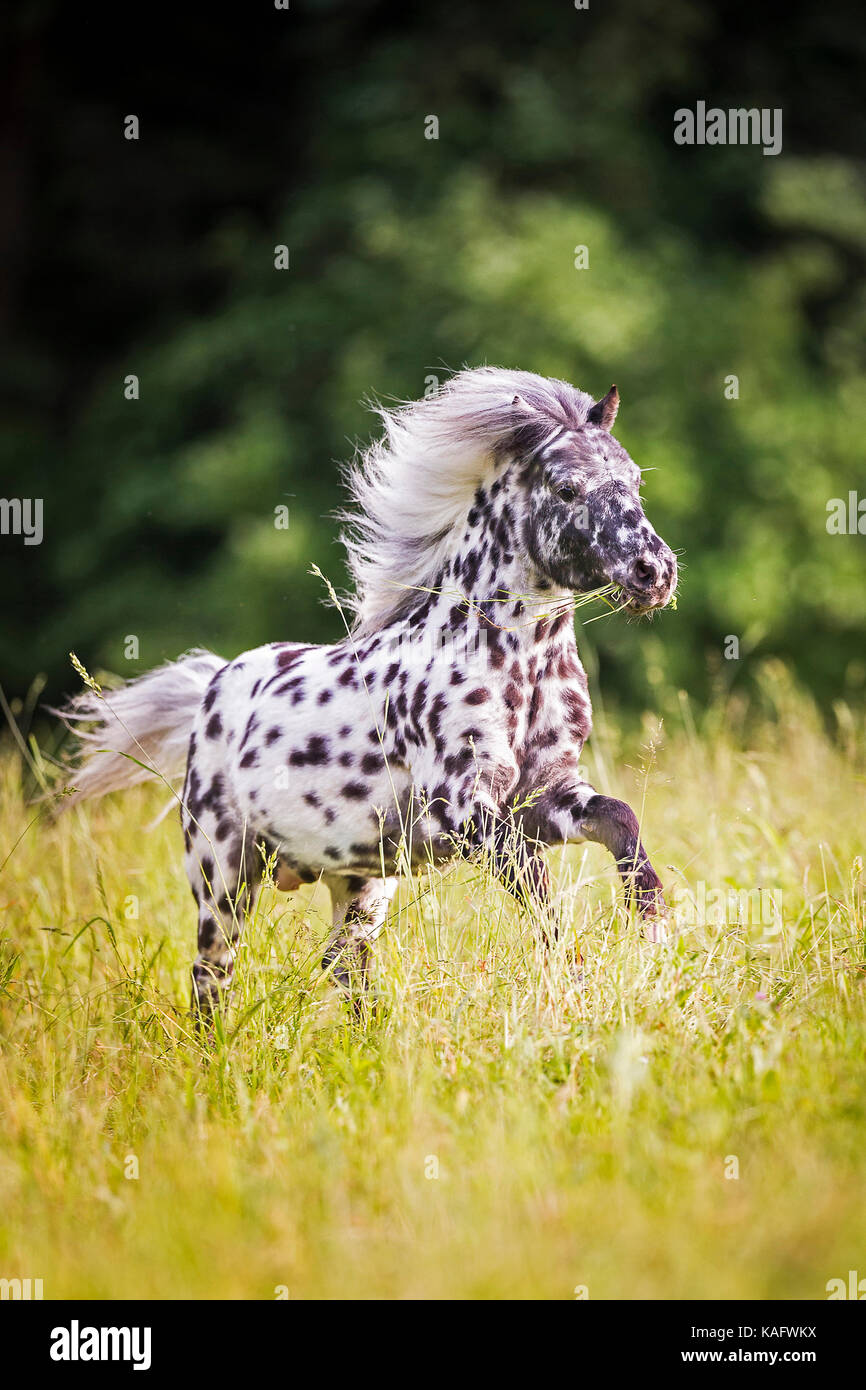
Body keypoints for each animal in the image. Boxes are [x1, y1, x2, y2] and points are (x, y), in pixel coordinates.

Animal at [58, 367, 678, 1018]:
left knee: (343, 967)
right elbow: (540, 897)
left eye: (634, 480)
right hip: (222, 874)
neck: (515, 663)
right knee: (212, 975)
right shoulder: (465, 813)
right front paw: (574, 977)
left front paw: (651, 921)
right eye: (565, 488)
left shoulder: (548, 795)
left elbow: (618, 818)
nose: (654, 572)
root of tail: (217, 682)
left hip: (359, 883)